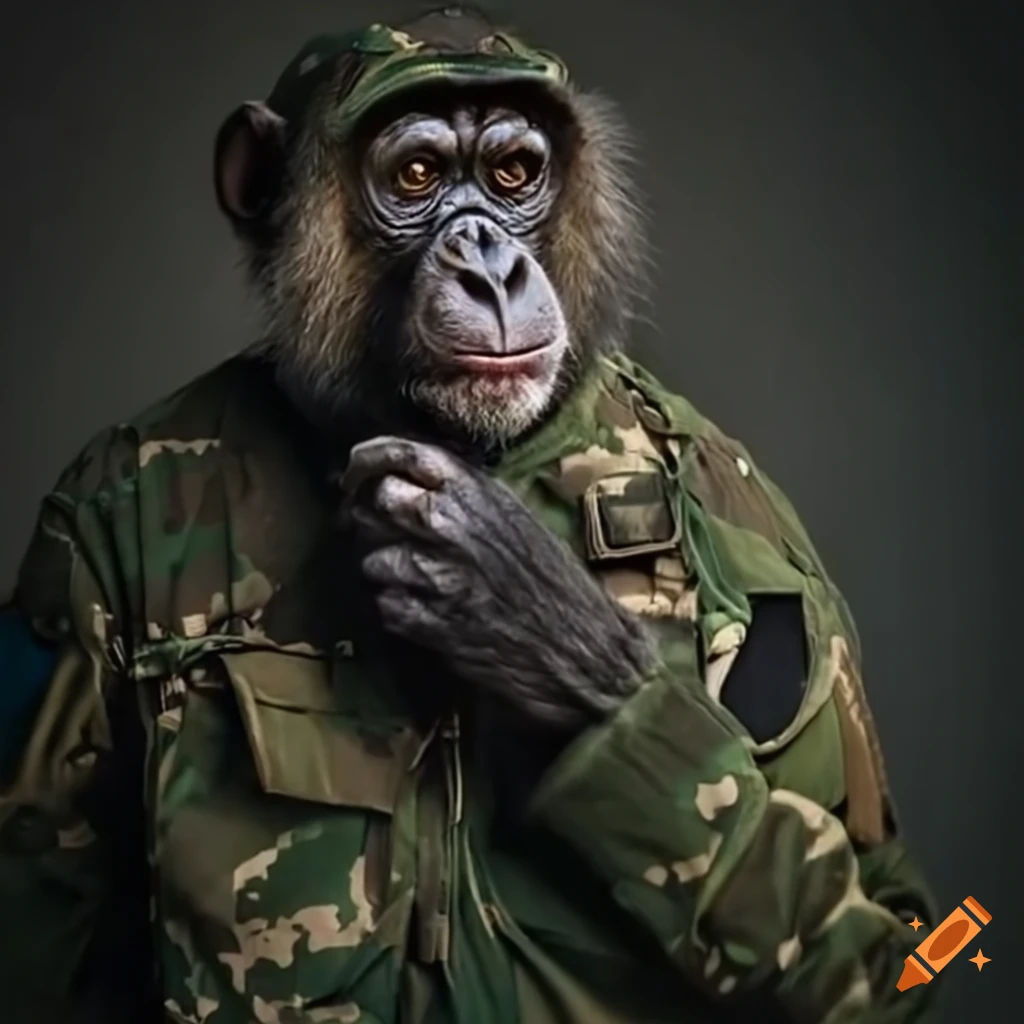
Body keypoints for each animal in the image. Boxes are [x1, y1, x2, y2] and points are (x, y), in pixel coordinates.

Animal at [0, 7, 940, 1023]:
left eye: (513, 174)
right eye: (416, 175)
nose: (490, 259)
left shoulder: (773, 546)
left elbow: (885, 922)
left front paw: (516, 595)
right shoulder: (71, 535)